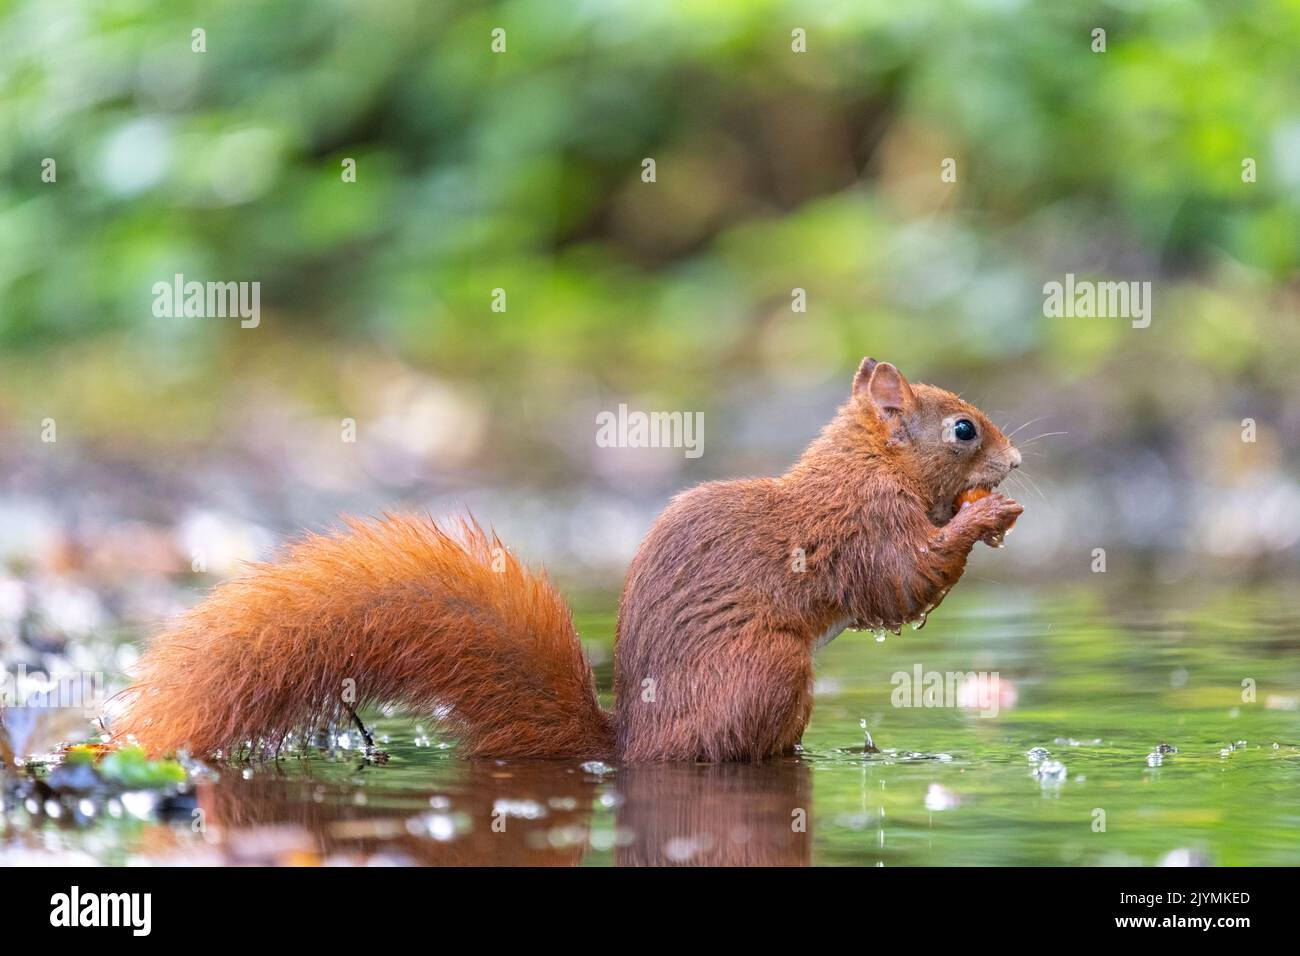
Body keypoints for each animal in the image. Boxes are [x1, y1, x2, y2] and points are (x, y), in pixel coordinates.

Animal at [113, 358, 1023, 763]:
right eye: (963, 429)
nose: (1015, 462)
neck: (863, 466)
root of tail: (631, 745)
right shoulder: (860, 530)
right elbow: (901, 585)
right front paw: (983, 516)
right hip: (769, 672)